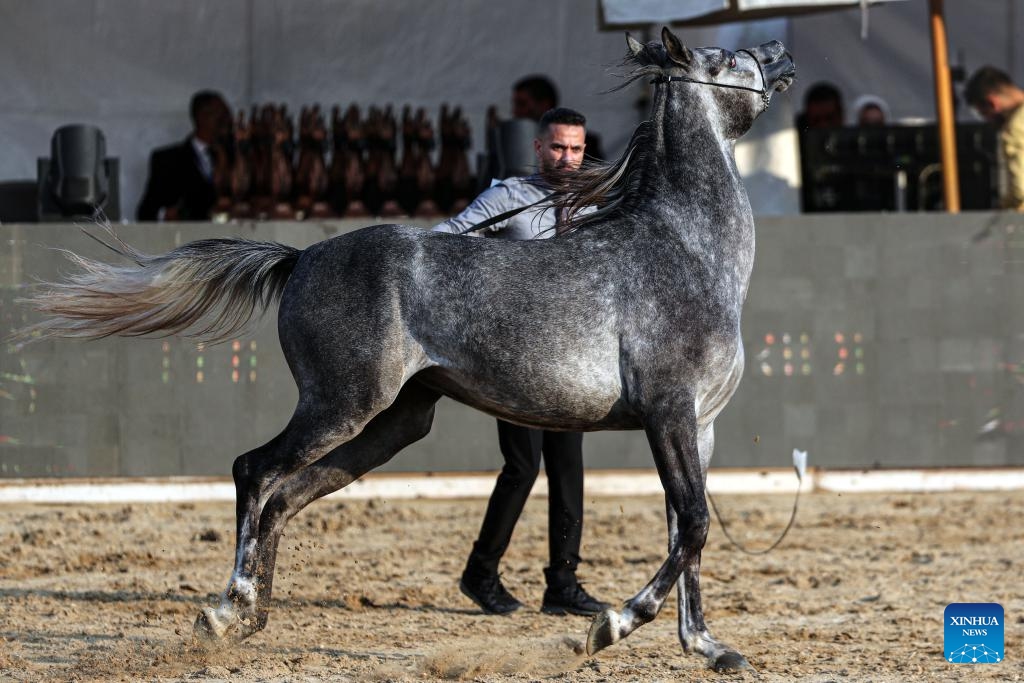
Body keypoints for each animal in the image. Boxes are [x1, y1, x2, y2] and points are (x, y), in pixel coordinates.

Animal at [17, 28, 794, 673]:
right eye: (725, 58)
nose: (779, 52)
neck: (680, 248)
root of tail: (300, 257)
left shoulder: (698, 425)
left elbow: (686, 531)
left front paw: (709, 646)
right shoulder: (668, 411)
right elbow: (692, 525)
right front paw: (604, 628)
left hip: (395, 421)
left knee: (284, 493)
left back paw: (253, 617)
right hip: (343, 403)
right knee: (254, 470)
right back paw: (227, 607)